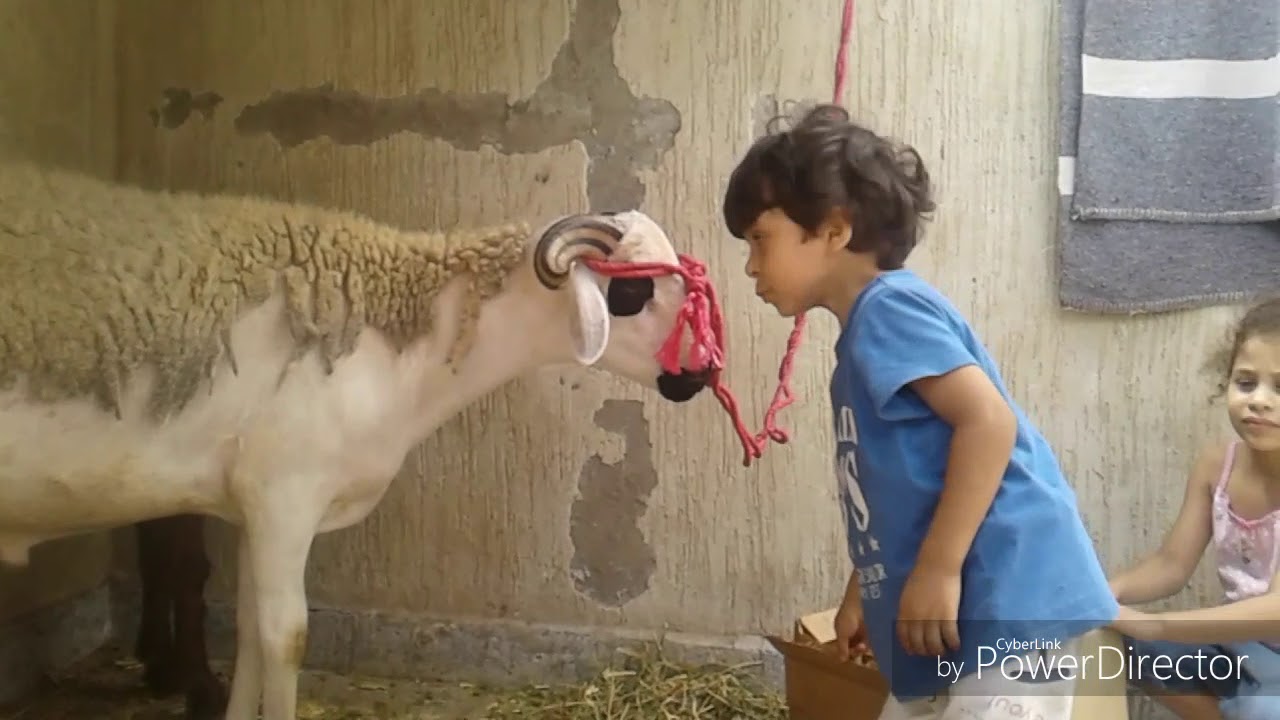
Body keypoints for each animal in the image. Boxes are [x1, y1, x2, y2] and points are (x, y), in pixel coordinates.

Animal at [0, 160, 715, 720]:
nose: (701, 375)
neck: (399, 341)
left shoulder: (253, 505)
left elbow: (250, 635)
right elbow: (285, 637)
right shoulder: (285, 495)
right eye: (631, 291)